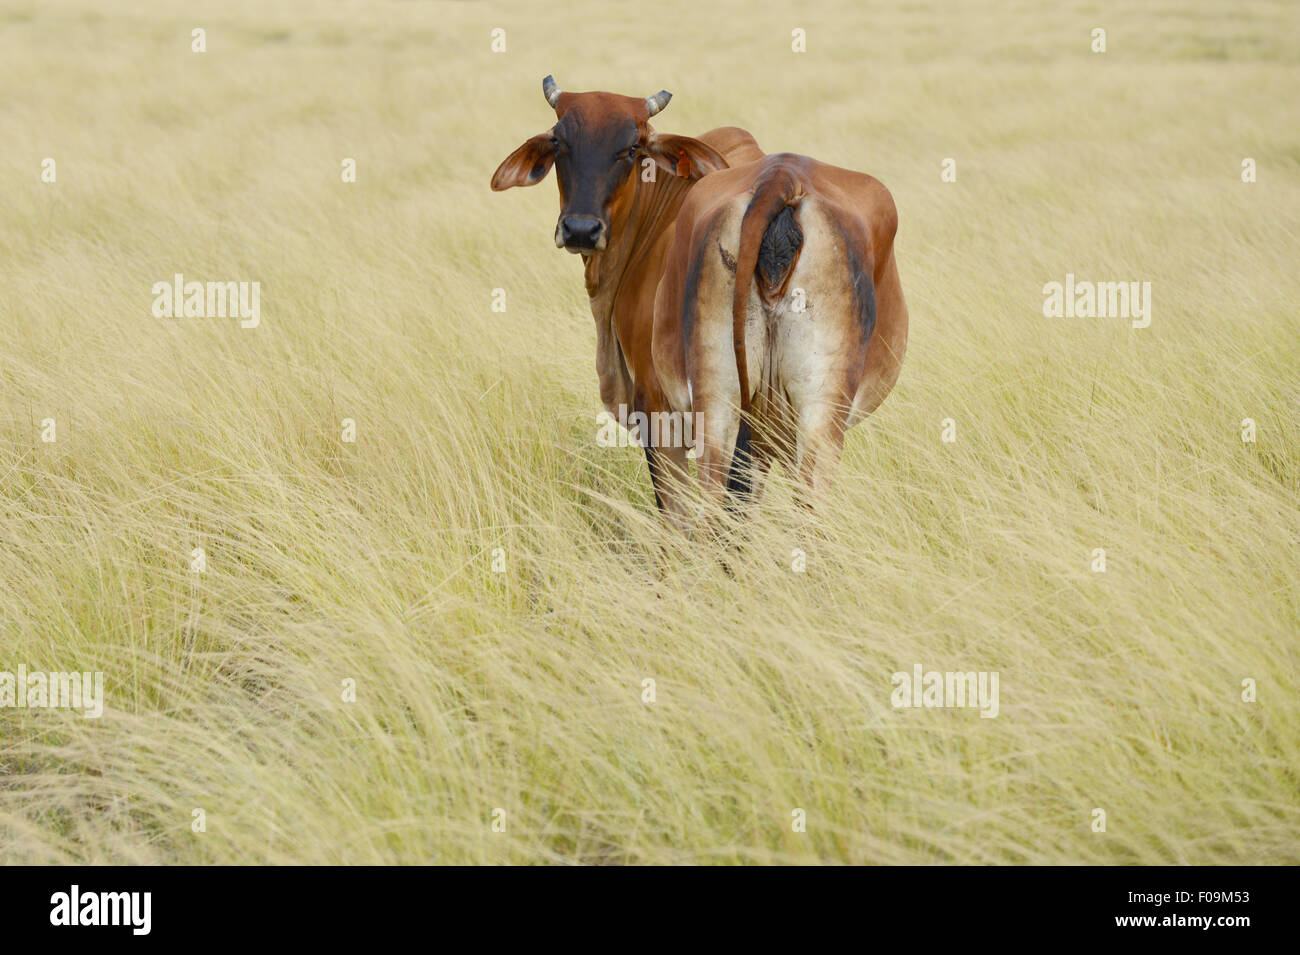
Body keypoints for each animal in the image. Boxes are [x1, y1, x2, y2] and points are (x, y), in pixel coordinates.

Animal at [490, 77, 907, 528]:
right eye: (558, 141)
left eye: (632, 147)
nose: (580, 229)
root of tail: (782, 179)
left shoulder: (658, 411)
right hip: (816, 417)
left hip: (717, 409)